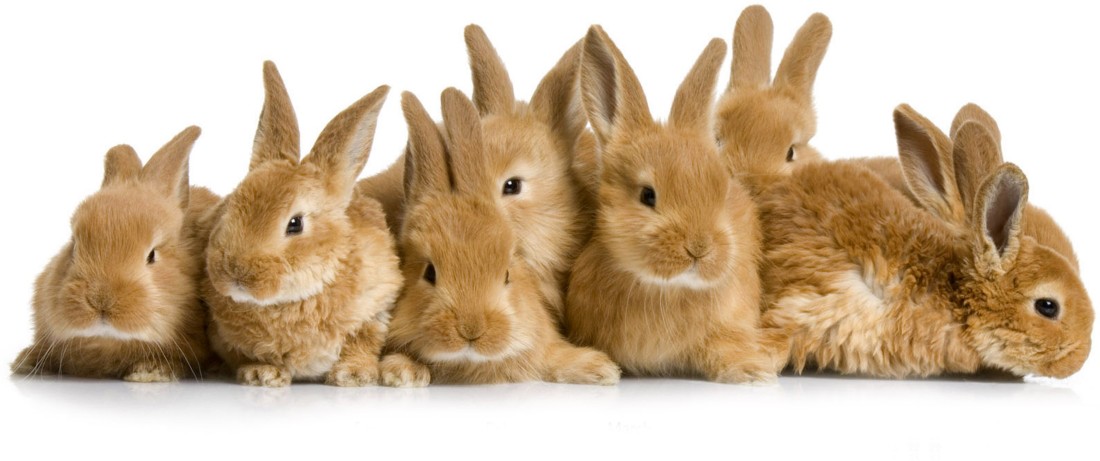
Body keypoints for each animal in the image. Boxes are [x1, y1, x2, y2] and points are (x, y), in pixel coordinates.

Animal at [201, 61, 402, 387]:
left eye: (294, 224)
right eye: (230, 206)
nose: (236, 273)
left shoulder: (376, 308)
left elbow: (362, 342)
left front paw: (354, 375)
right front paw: (262, 374)